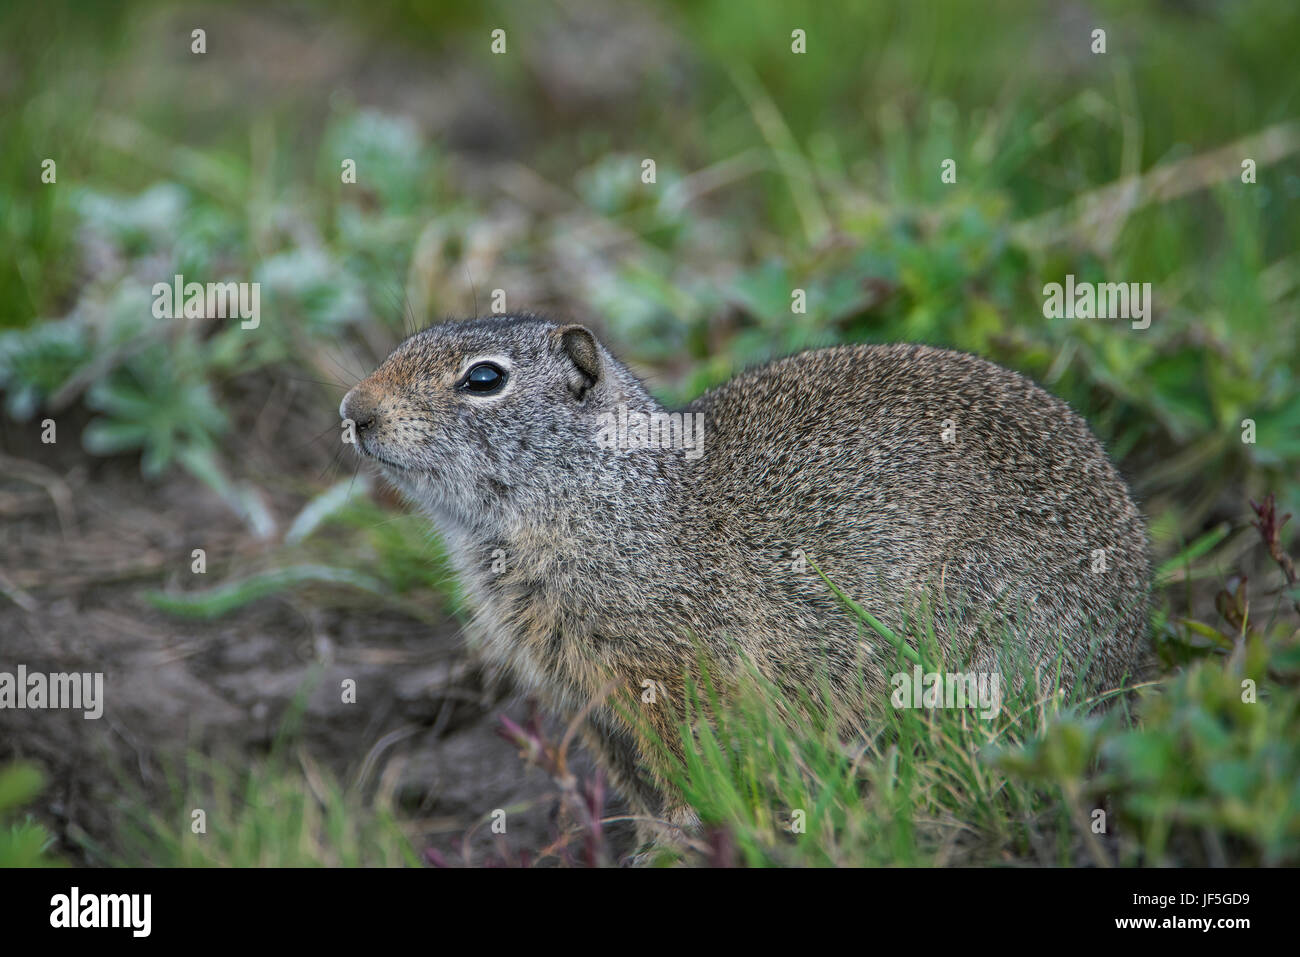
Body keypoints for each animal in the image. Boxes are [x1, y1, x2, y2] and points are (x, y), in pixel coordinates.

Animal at [340, 314, 1151, 855]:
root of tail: (1127, 658)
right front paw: (656, 844)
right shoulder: (590, 701)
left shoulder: (664, 675)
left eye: (484, 378)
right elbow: (642, 788)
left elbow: (688, 770)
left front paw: (684, 843)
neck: (606, 492)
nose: (354, 410)